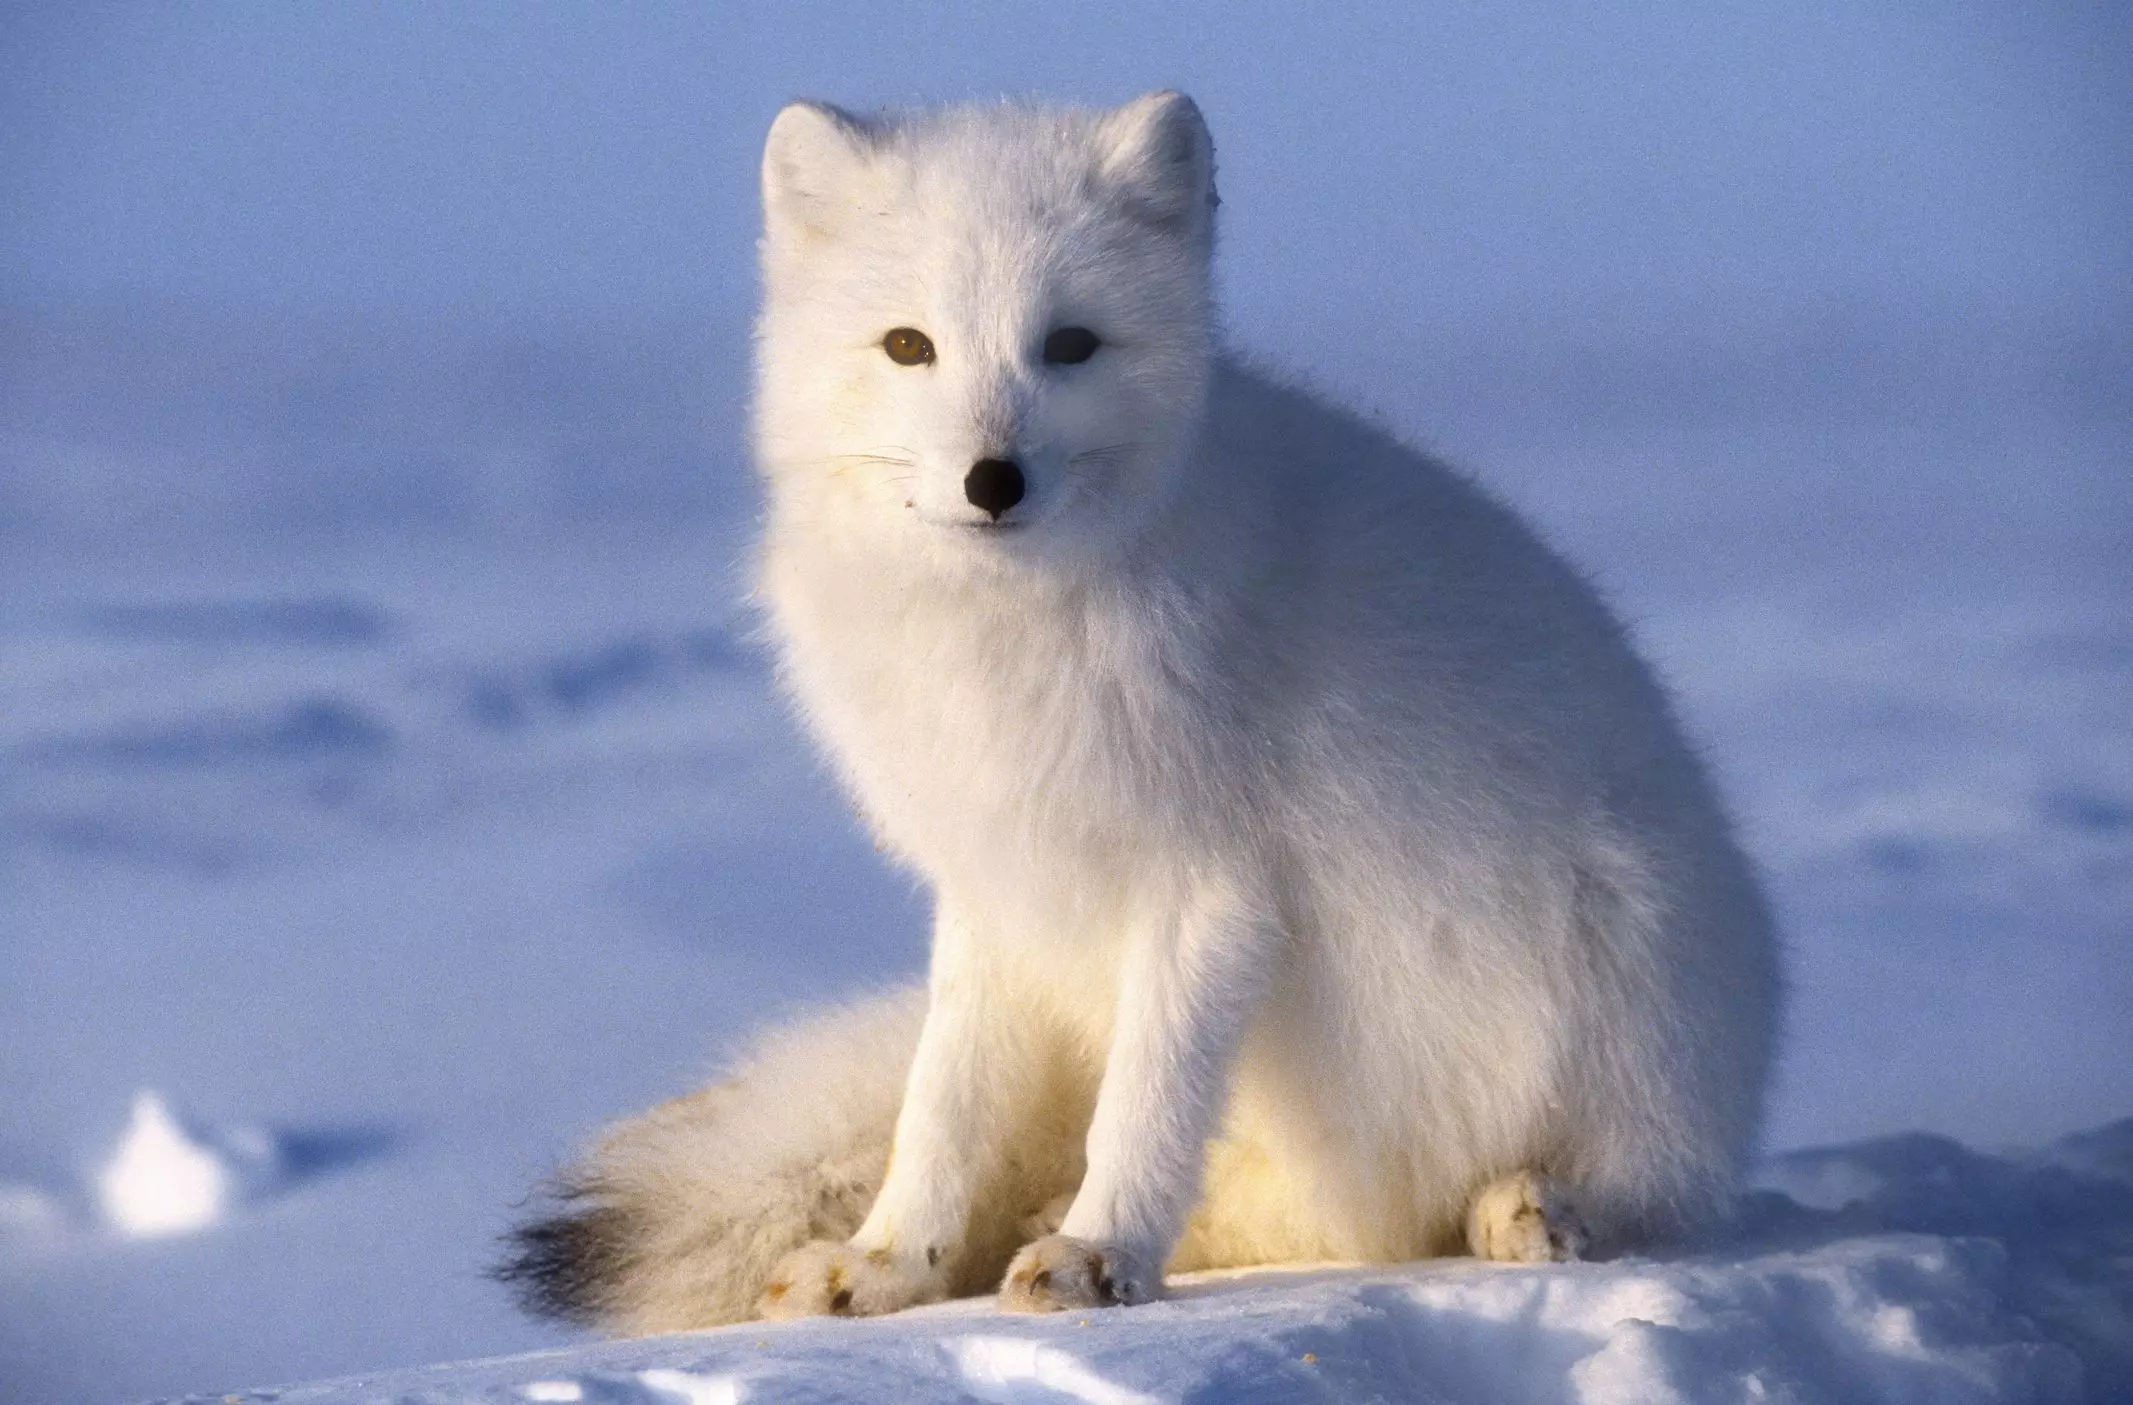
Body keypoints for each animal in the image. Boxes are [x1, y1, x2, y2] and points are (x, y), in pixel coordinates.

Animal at [499, 93, 1783, 1338]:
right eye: (910, 345)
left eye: (1070, 344)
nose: (992, 480)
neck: (1008, 639)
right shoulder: (996, 887)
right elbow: (941, 1105)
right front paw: (889, 1265)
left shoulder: (1208, 888)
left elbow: (1148, 1102)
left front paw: (1098, 1254)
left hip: (1624, 972)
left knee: (1613, 1191)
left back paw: (1529, 1206)